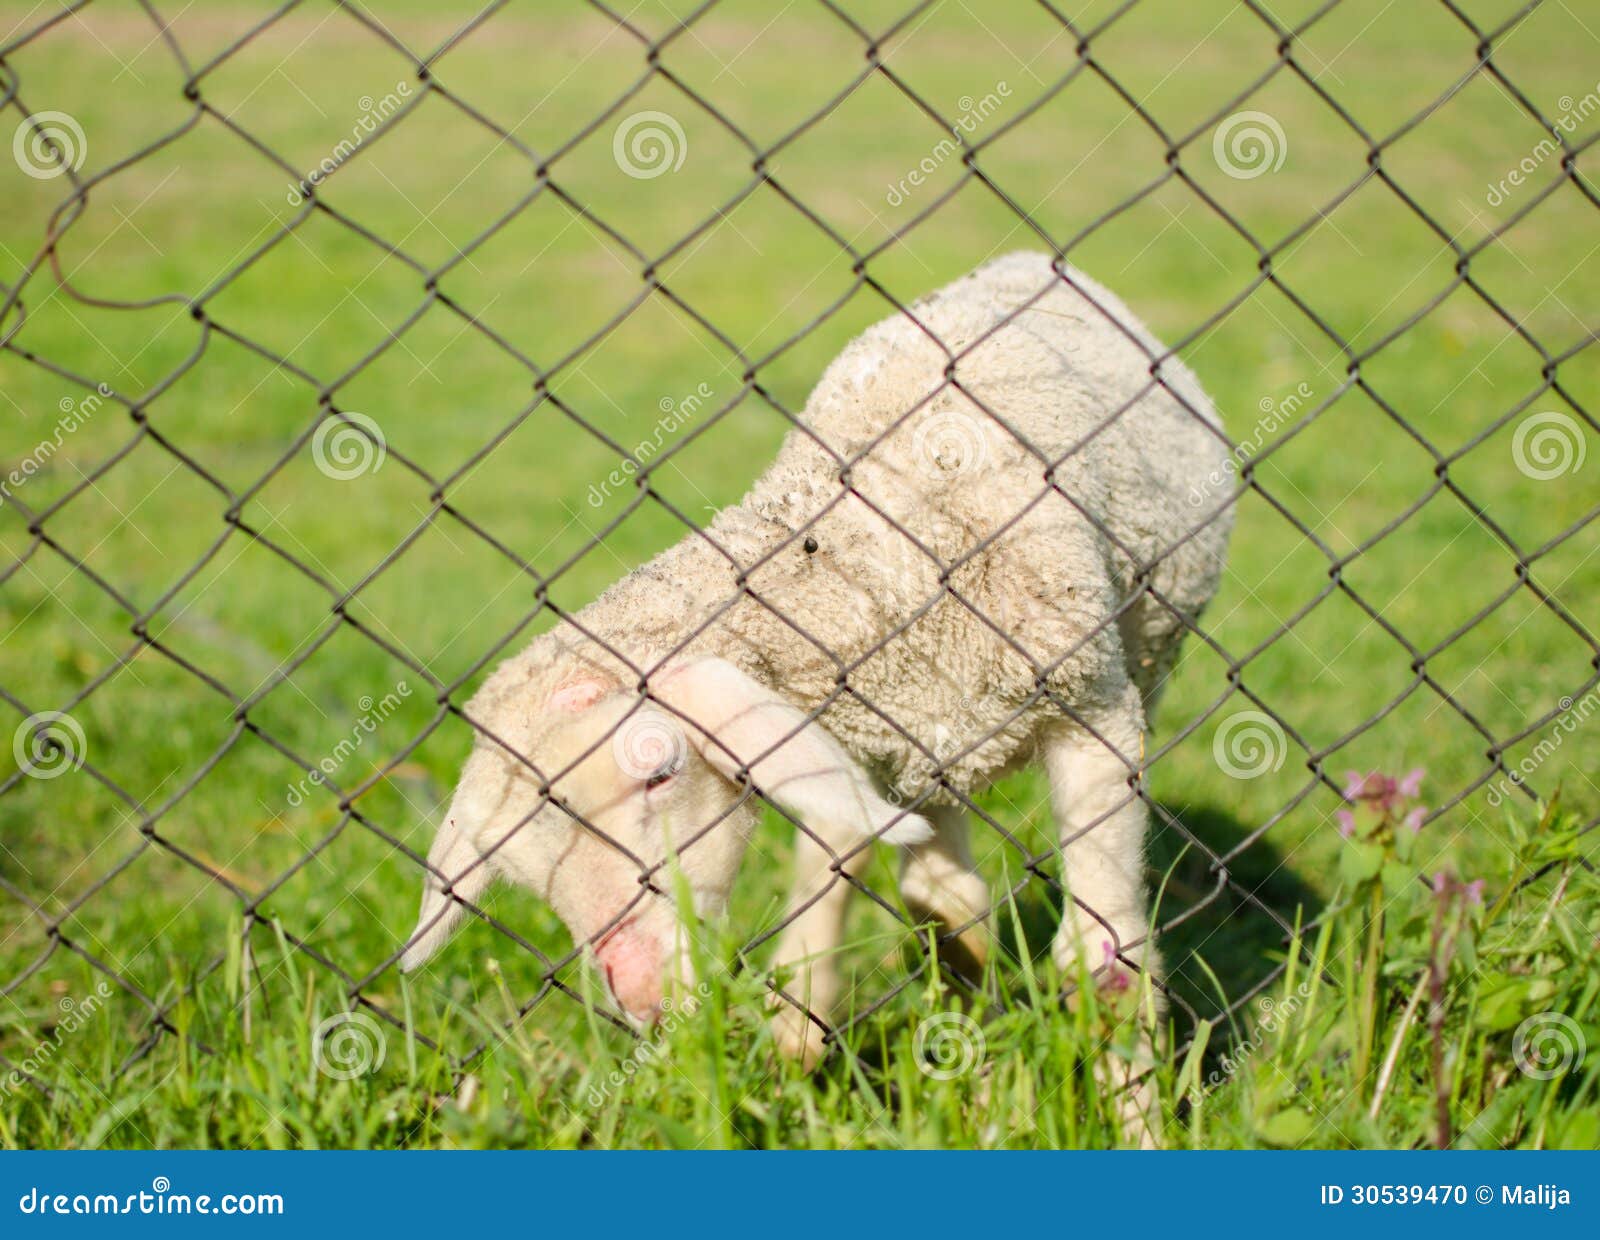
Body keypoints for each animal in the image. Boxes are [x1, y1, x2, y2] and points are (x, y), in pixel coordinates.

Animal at [400, 250, 1233, 1116]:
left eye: (658, 771)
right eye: (523, 874)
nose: (642, 998)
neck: (875, 554)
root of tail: (1026, 259)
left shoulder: (1092, 713)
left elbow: (1105, 964)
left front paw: (1137, 1118)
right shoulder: (870, 740)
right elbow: (906, 902)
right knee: (927, 890)